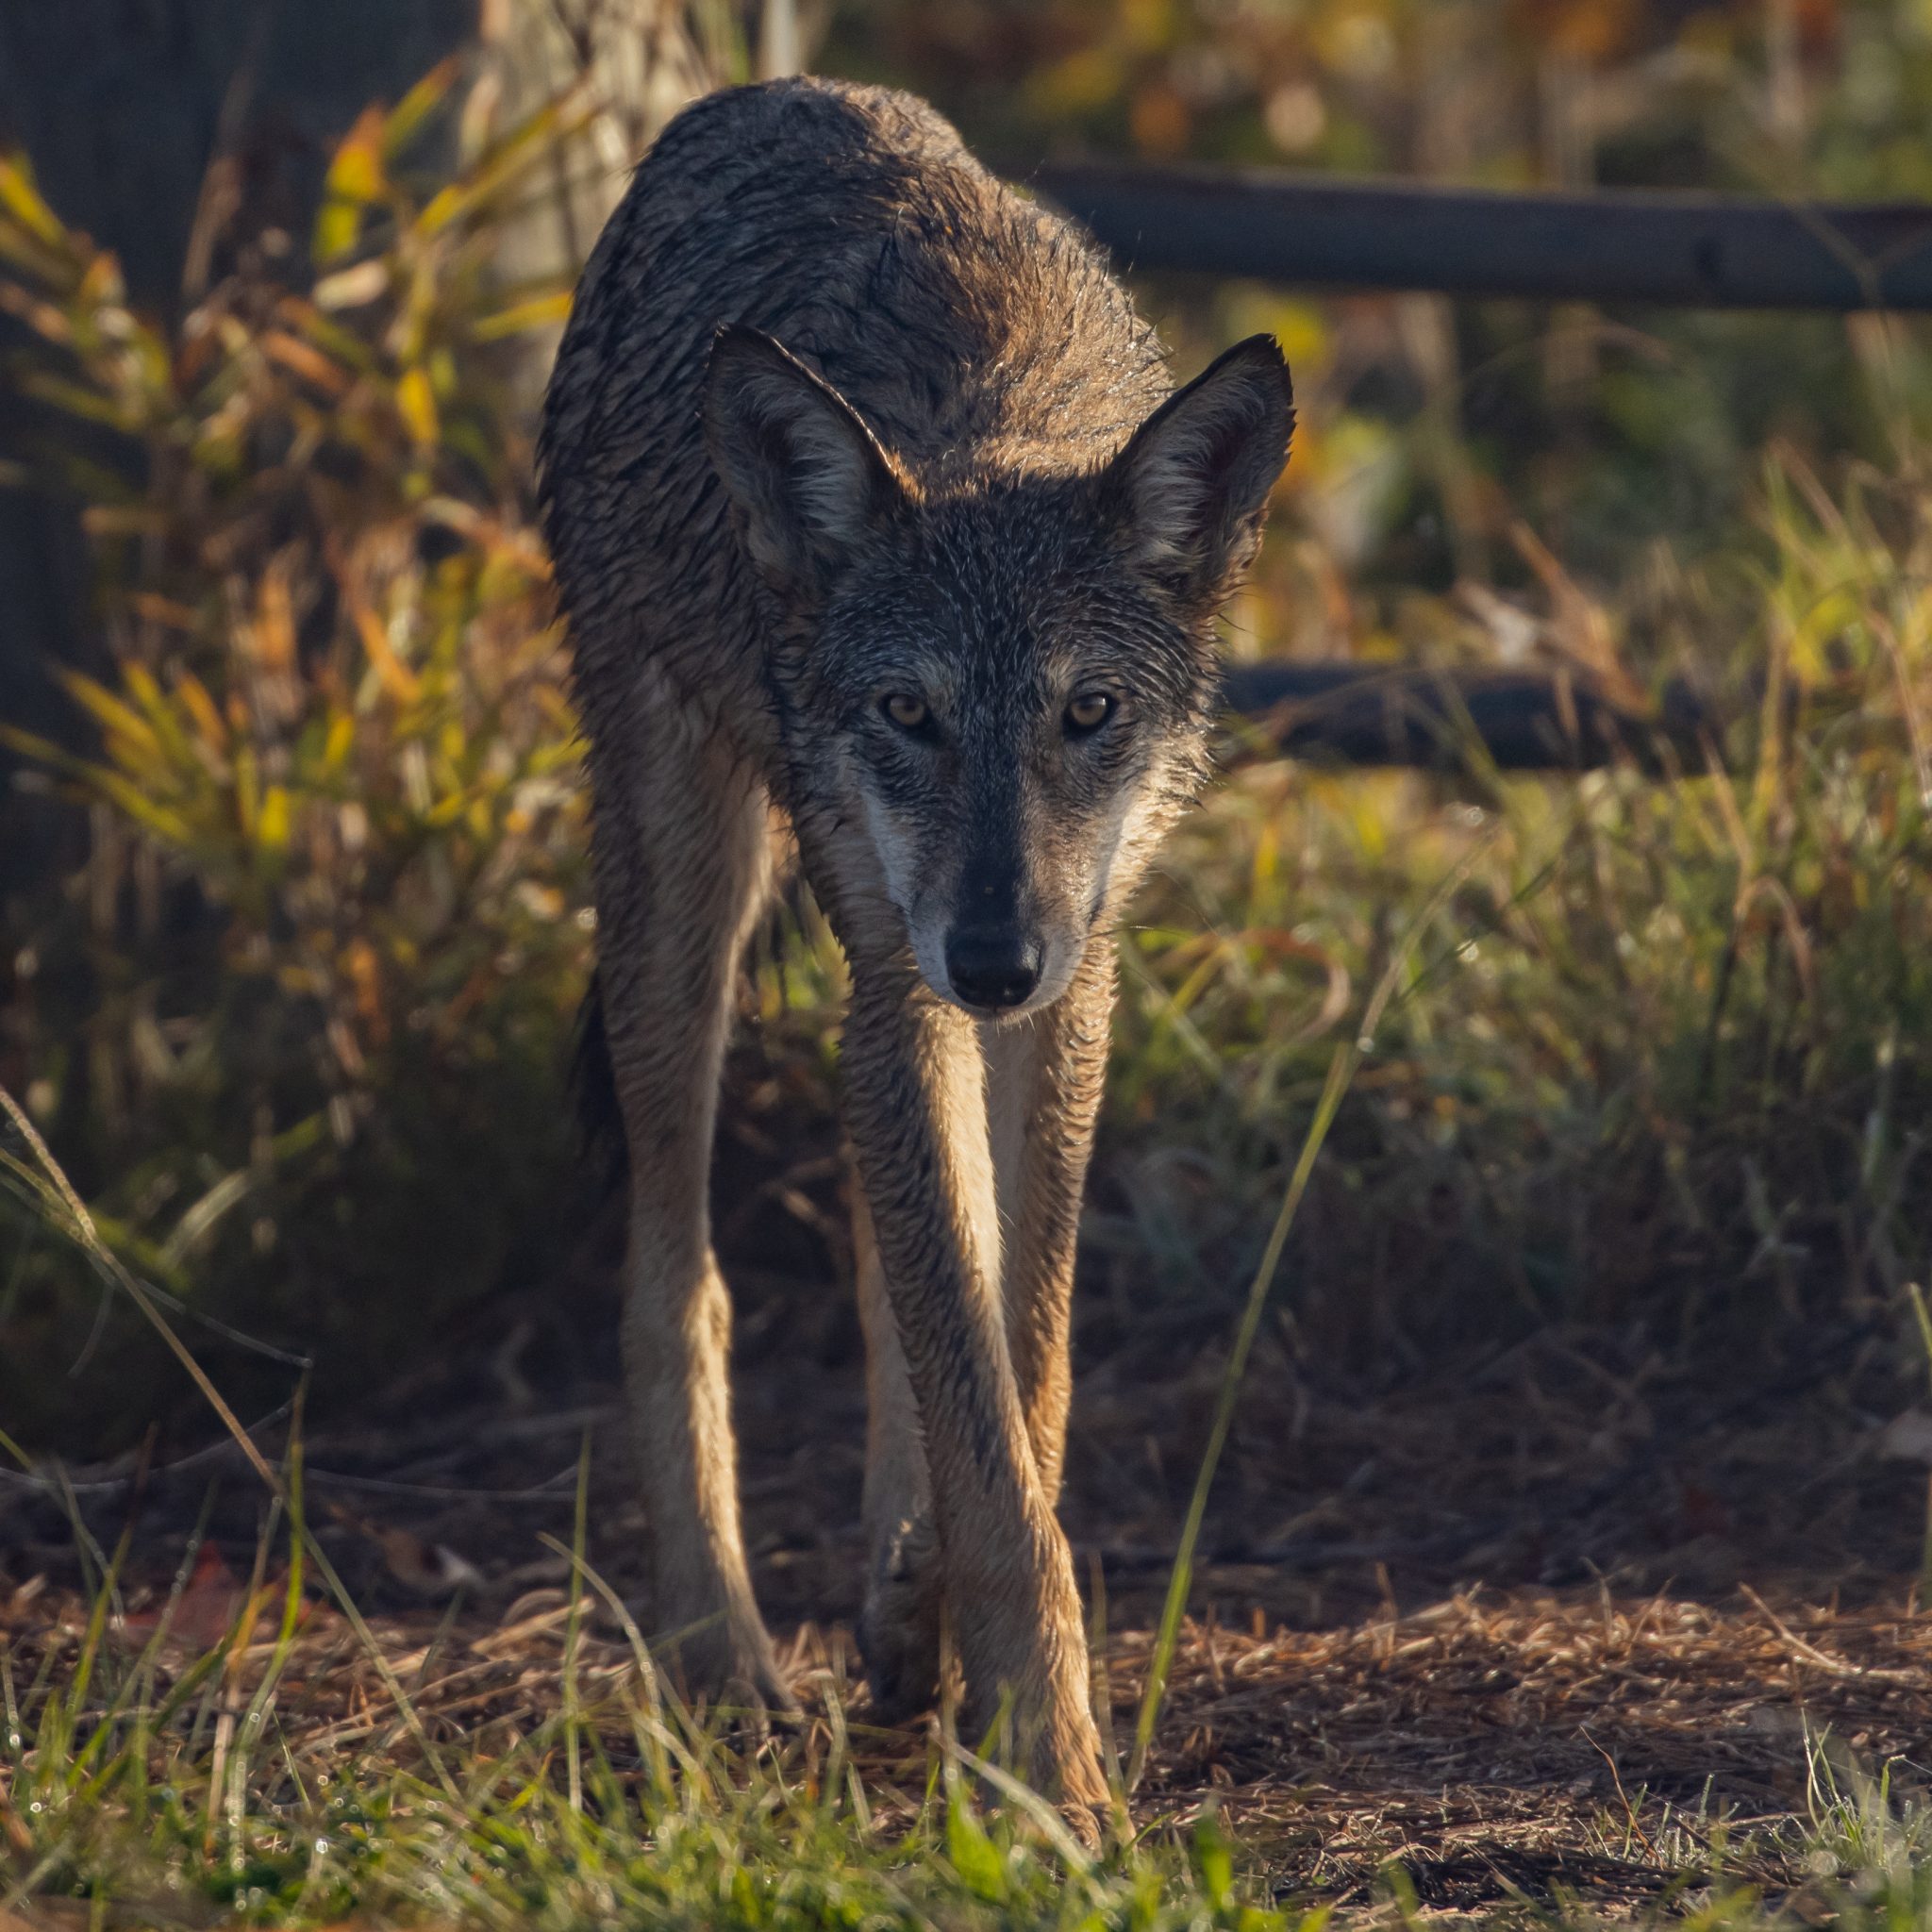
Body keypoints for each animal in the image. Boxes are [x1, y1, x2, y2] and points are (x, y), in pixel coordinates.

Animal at [539, 74, 1292, 1808]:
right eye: (907, 712)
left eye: (1087, 710)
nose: (993, 956)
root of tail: (760, 96)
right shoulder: (910, 978)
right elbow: (978, 1407)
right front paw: (1054, 1768)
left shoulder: (1067, 995)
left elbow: (1019, 1371)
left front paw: (943, 1625)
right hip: (686, 902)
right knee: (674, 1272)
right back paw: (723, 1659)